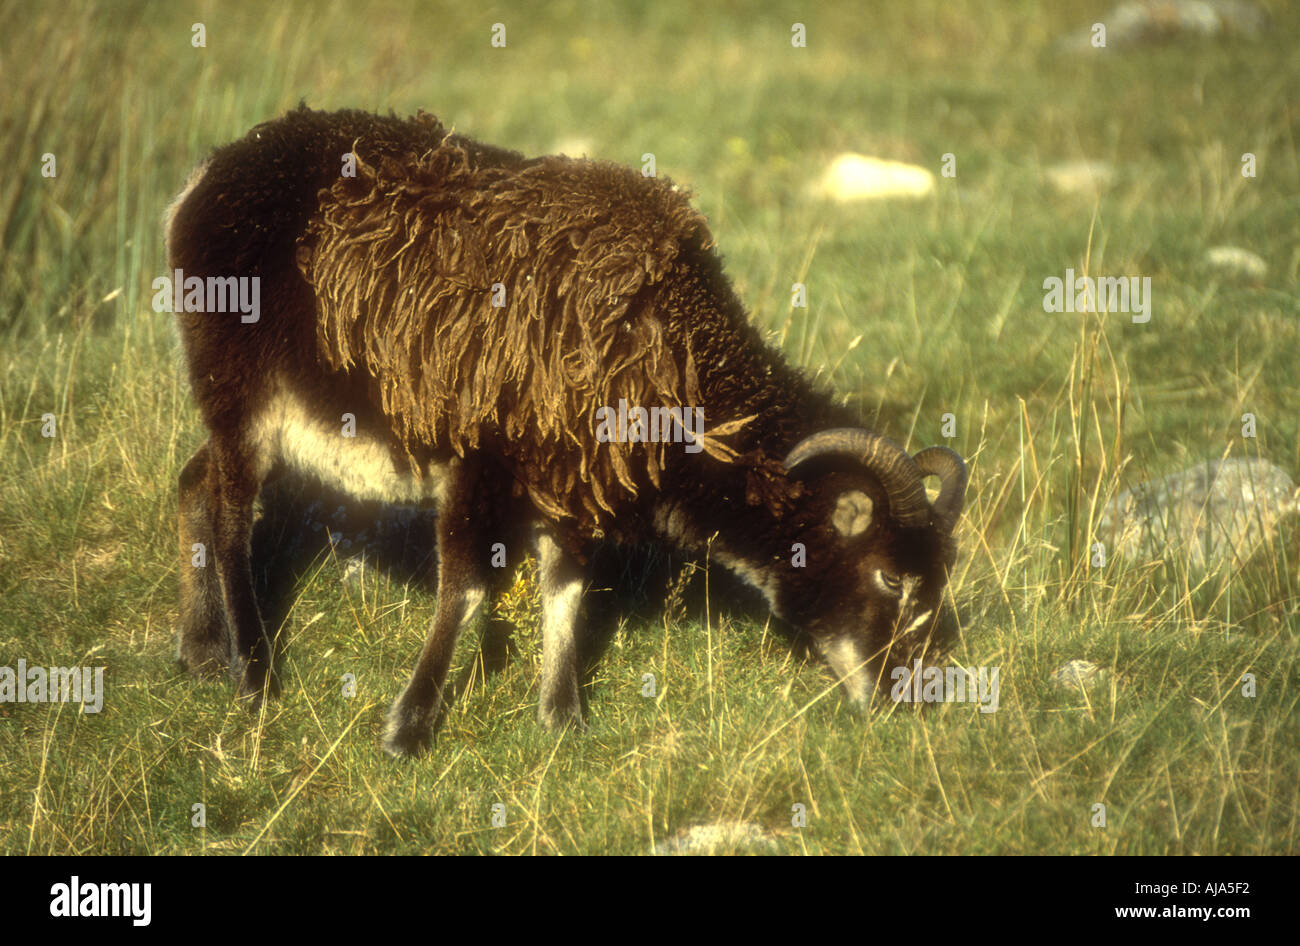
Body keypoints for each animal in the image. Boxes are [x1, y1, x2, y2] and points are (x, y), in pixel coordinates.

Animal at [166, 105, 968, 755]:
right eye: (889, 576)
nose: (902, 699)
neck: (672, 342)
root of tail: (206, 177)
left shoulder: (571, 483)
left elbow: (565, 587)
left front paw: (562, 717)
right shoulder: (481, 462)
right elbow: (465, 587)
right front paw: (408, 727)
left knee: (194, 482)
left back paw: (201, 653)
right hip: (243, 396)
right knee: (231, 510)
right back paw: (254, 678)